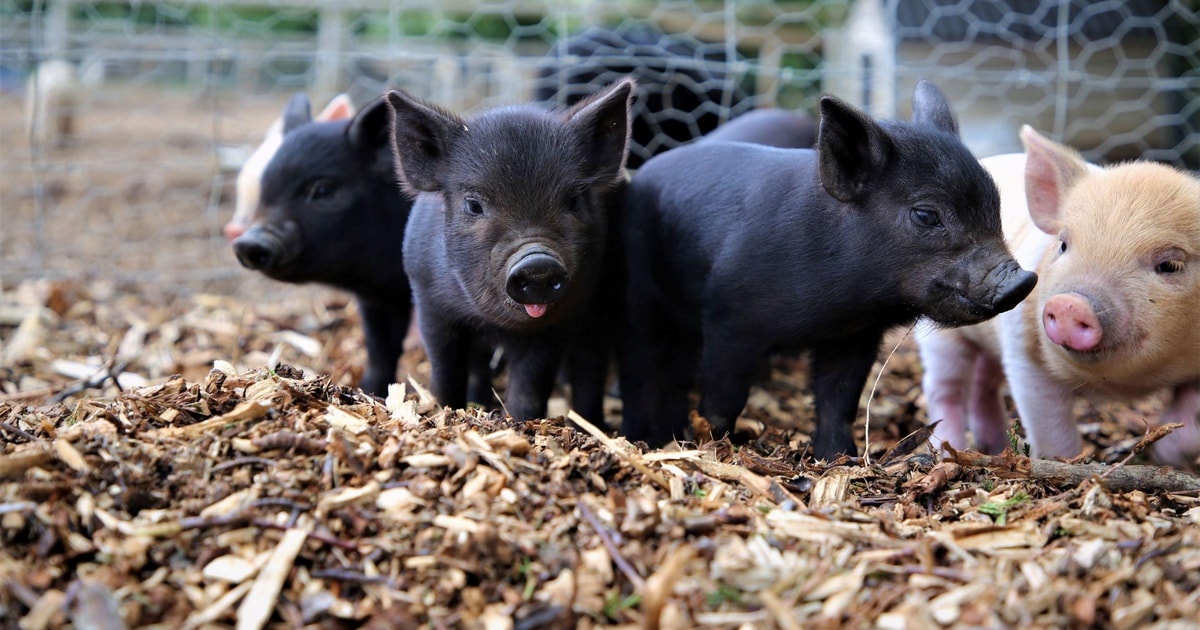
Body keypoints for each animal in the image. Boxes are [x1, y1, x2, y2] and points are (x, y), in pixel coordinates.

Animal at [386, 78, 636, 423]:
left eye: (574, 200)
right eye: (473, 205)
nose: (537, 262)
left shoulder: (561, 319)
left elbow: (531, 384)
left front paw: (519, 421)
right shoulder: (428, 300)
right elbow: (445, 369)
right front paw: (448, 409)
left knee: (589, 369)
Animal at [619, 80, 1037, 458]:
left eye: (995, 206)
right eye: (925, 215)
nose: (1022, 280)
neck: (836, 308)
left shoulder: (854, 336)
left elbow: (839, 400)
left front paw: (839, 458)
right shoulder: (729, 319)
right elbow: (725, 397)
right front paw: (715, 445)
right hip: (638, 299)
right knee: (640, 373)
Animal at [919, 126, 1200, 468]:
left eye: (1170, 265)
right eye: (1064, 245)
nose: (1069, 304)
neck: (1122, 385)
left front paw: (1162, 456)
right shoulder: (1024, 352)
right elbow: (1051, 428)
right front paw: (1064, 463)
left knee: (984, 386)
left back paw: (996, 448)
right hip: (942, 334)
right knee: (944, 388)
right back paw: (951, 450)